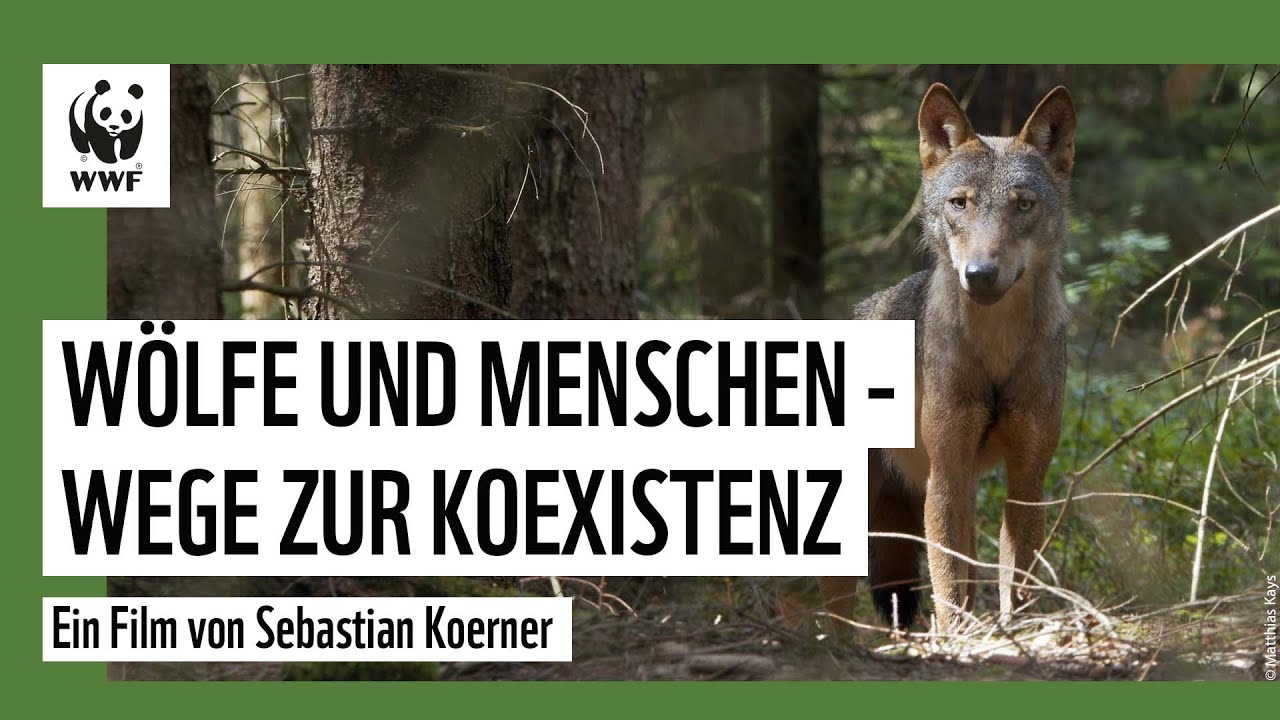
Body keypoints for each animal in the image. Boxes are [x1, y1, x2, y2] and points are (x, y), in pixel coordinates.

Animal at [820, 82, 1077, 632]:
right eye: (960, 204)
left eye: (1023, 205)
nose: (980, 273)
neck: (996, 351)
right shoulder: (947, 471)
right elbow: (948, 585)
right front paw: (960, 640)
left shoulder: (1026, 477)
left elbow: (1014, 584)